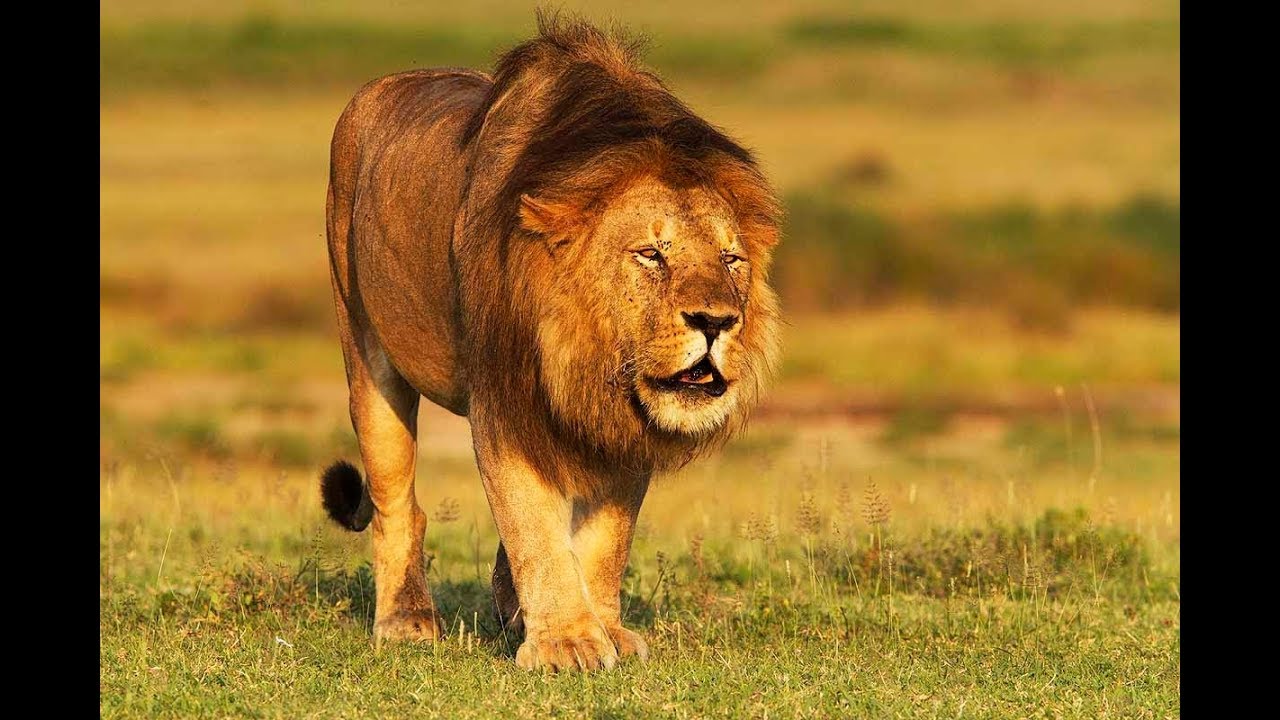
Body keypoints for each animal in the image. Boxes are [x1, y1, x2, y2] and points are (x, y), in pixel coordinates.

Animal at [319, 13, 781, 671]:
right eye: (651, 254)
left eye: (731, 259)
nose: (716, 321)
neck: (583, 358)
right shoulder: (501, 400)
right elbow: (532, 521)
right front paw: (566, 644)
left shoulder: (624, 427)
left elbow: (606, 538)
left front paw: (603, 630)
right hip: (366, 351)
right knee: (396, 500)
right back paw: (406, 621)